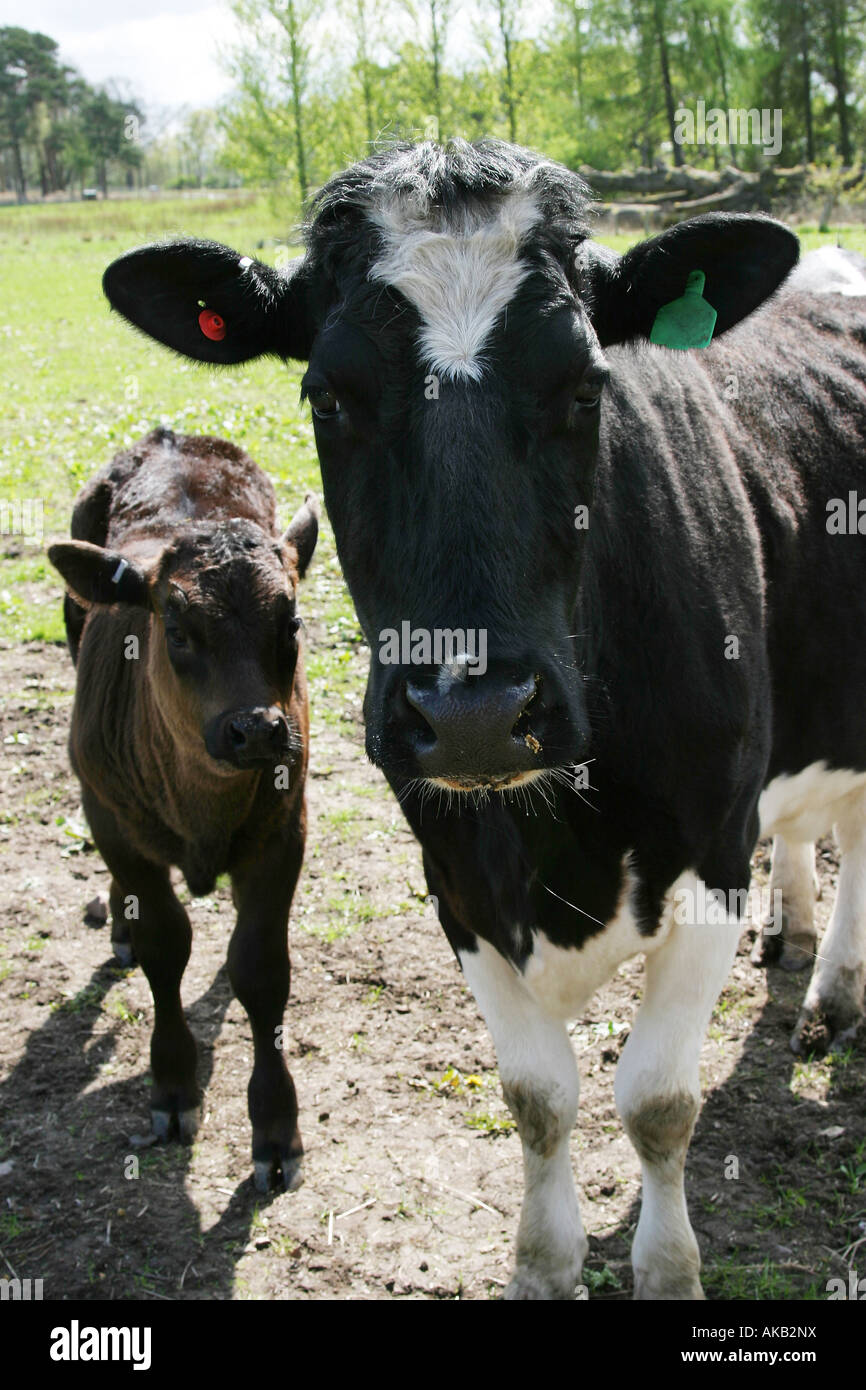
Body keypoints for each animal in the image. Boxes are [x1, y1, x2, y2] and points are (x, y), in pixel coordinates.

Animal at [49, 427, 318, 1193]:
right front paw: (170, 1086)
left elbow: (261, 969)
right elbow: (165, 949)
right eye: (176, 629)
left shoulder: (282, 829)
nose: (257, 729)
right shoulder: (116, 824)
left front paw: (275, 1127)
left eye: (291, 621)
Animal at [99, 141, 866, 1299]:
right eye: (327, 395)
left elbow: (655, 1102)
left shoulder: (711, 852)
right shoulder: (452, 869)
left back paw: (833, 993)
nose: (473, 713)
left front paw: (668, 1270)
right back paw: (802, 941)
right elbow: (537, 1099)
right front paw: (542, 1268)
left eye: (586, 386)